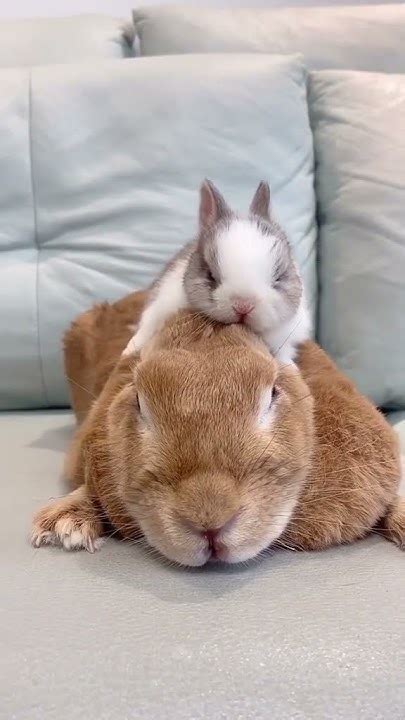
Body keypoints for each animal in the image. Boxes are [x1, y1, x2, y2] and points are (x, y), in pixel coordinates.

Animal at [123, 180, 311, 366]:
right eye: (210, 275)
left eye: (279, 276)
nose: (243, 306)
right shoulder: (160, 304)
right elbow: (146, 329)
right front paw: (128, 351)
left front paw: (290, 366)